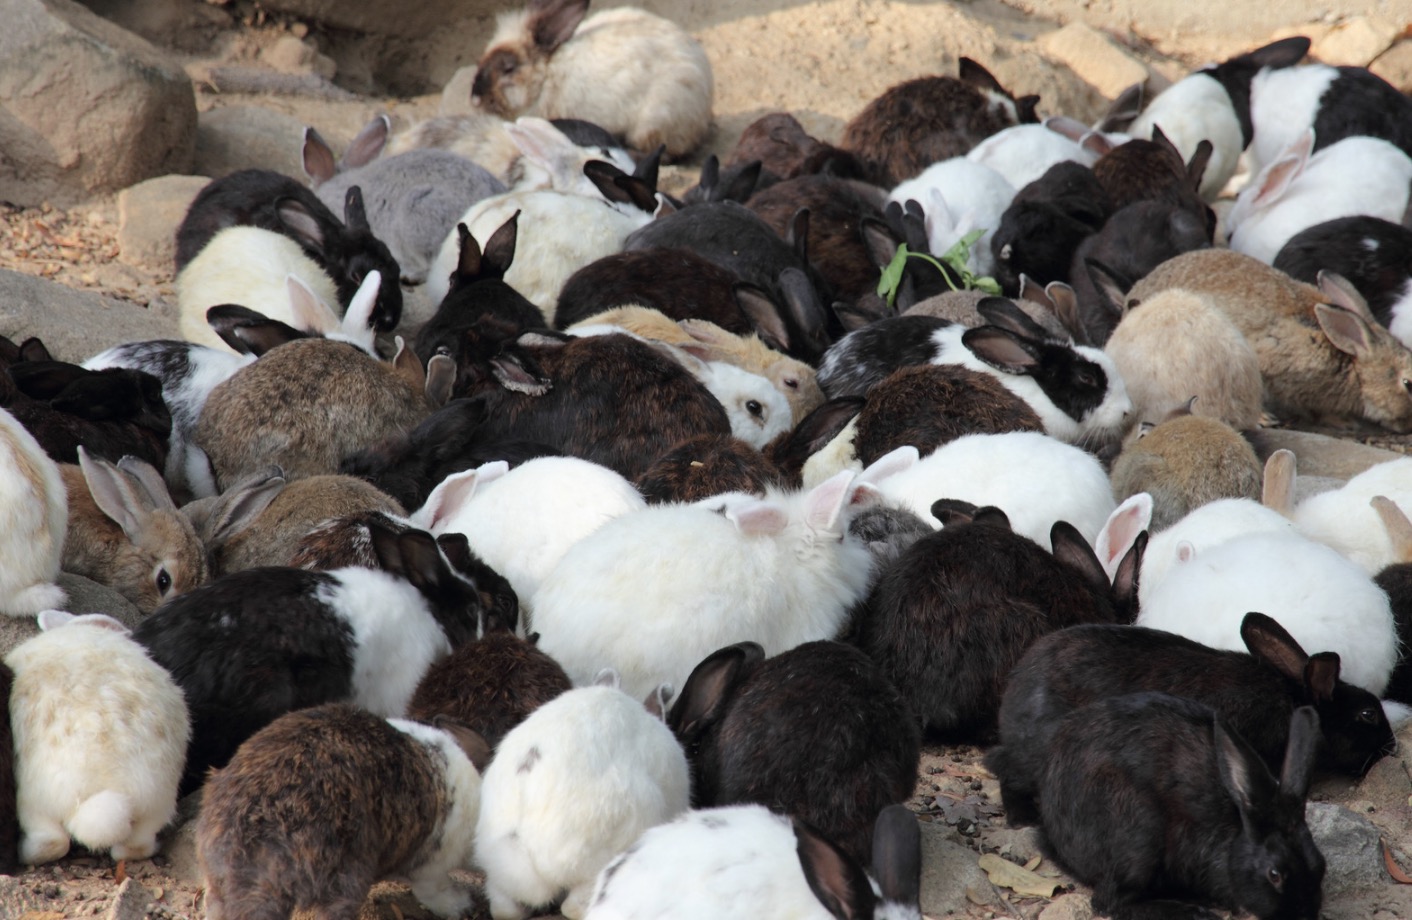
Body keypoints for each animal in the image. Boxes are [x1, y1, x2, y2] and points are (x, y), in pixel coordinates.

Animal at [1015, 694, 1324, 920]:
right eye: (1275, 875)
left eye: (1320, 865)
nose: (1304, 916)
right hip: (1138, 833)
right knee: (1109, 902)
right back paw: (1192, 911)